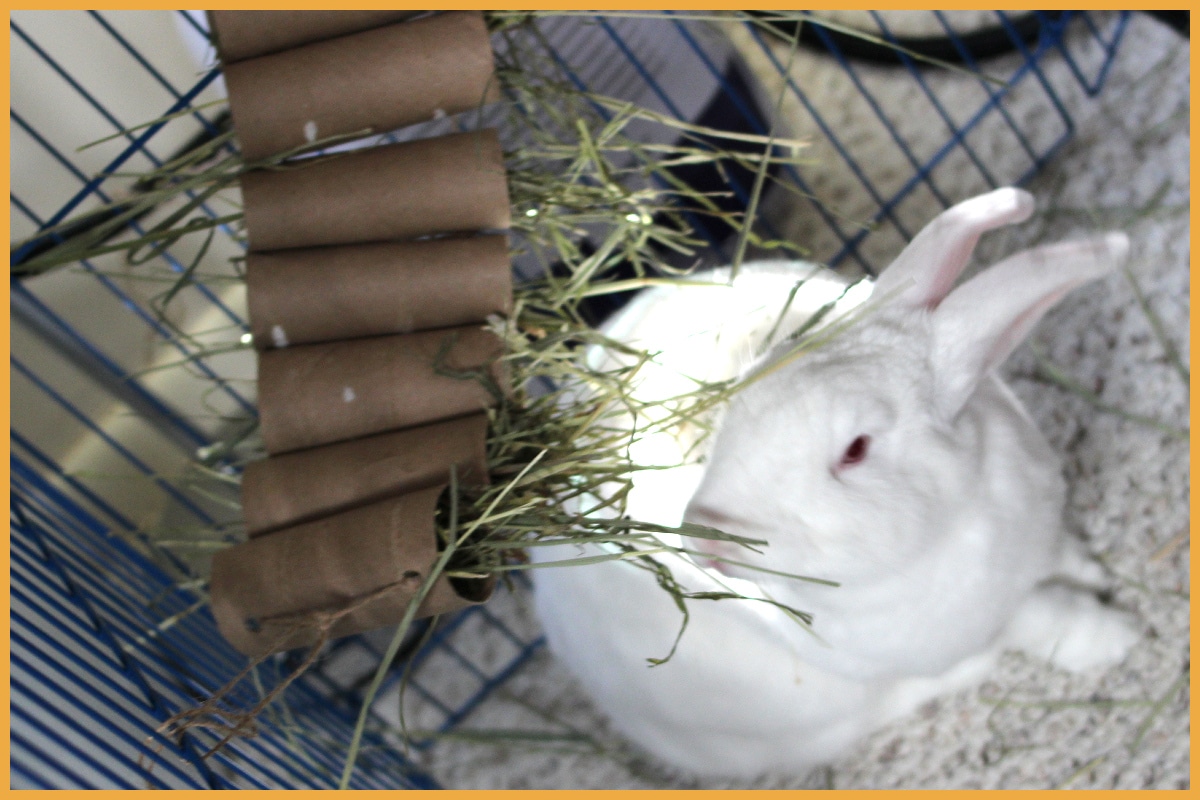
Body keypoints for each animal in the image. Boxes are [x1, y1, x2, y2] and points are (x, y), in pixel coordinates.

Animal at [530, 187, 1141, 779]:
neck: (962, 516)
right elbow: (1048, 619)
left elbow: (1065, 562)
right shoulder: (991, 624)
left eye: (855, 449)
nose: (703, 535)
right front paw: (1117, 637)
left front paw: (1101, 577)